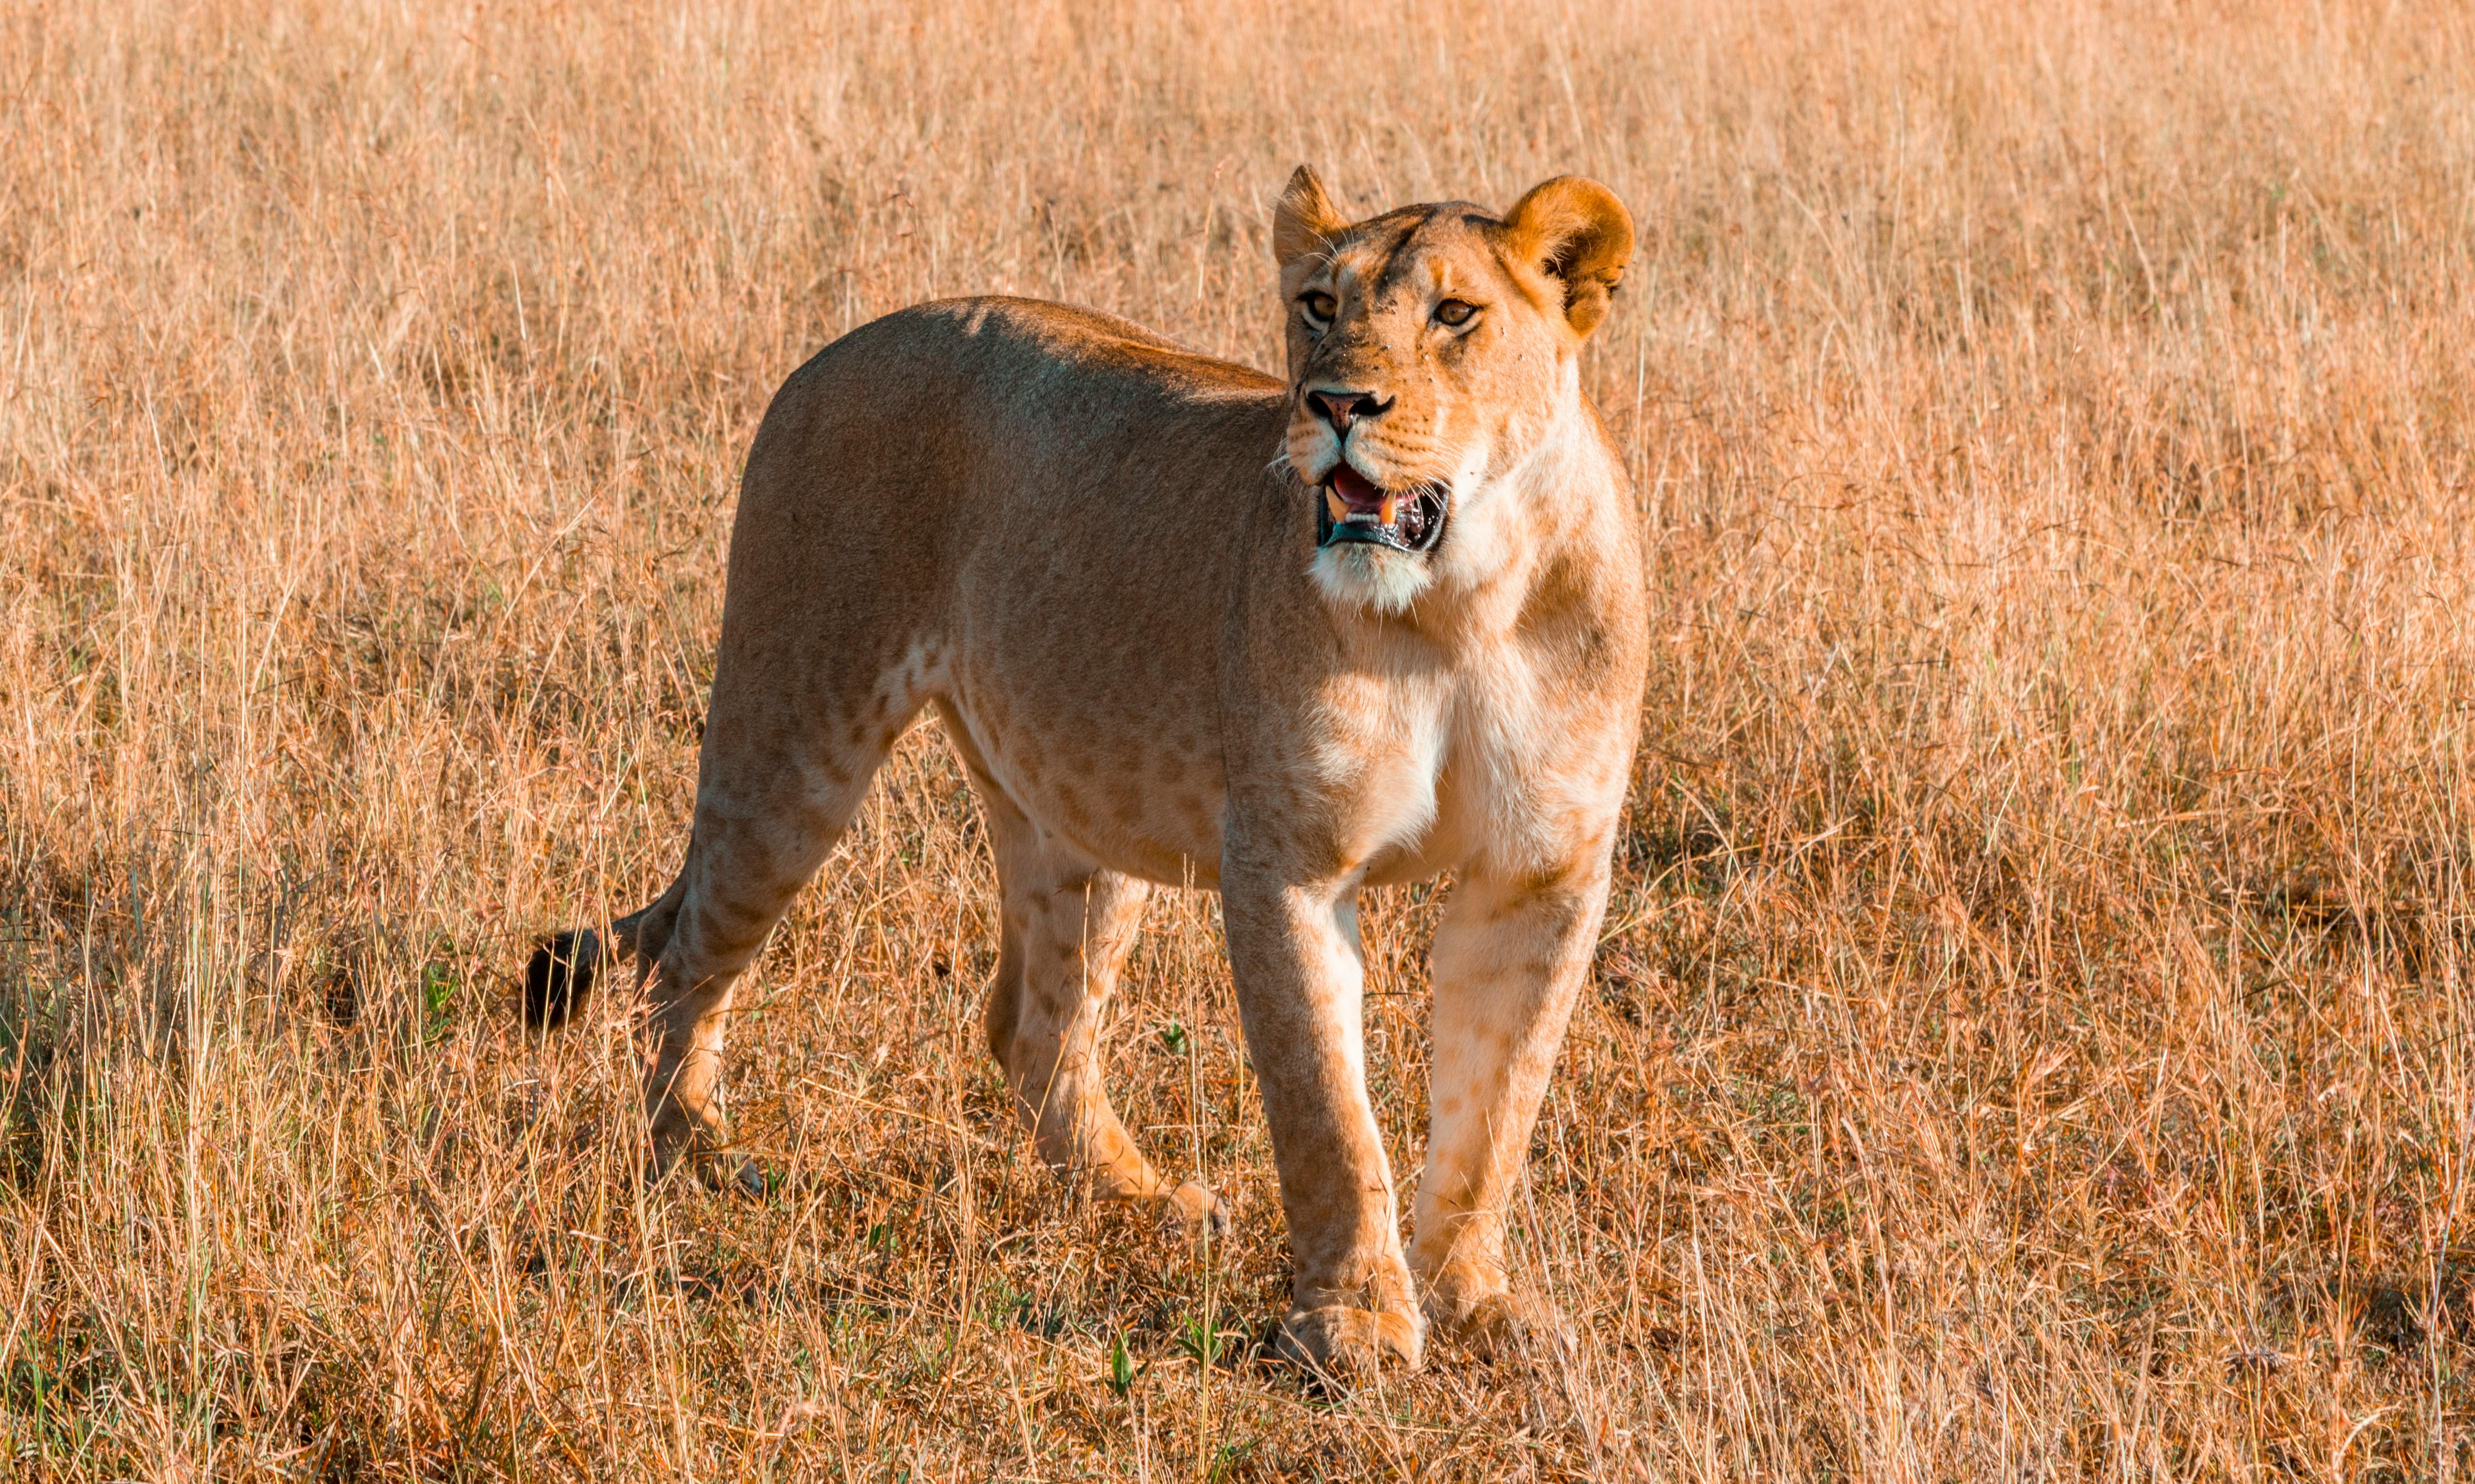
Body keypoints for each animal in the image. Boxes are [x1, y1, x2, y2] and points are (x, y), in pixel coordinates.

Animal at [523, 166, 1647, 1377]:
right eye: (1316, 305)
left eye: (1455, 315)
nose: (1336, 406)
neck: (1458, 609)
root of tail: (838, 347)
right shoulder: (1289, 865)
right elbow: (1327, 1115)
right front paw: (1351, 1321)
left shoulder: (1540, 875)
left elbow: (1496, 1110)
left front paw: (1476, 1303)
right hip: (793, 734)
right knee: (686, 959)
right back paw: (695, 1152)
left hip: (1084, 805)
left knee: (1031, 1022)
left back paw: (1138, 1198)